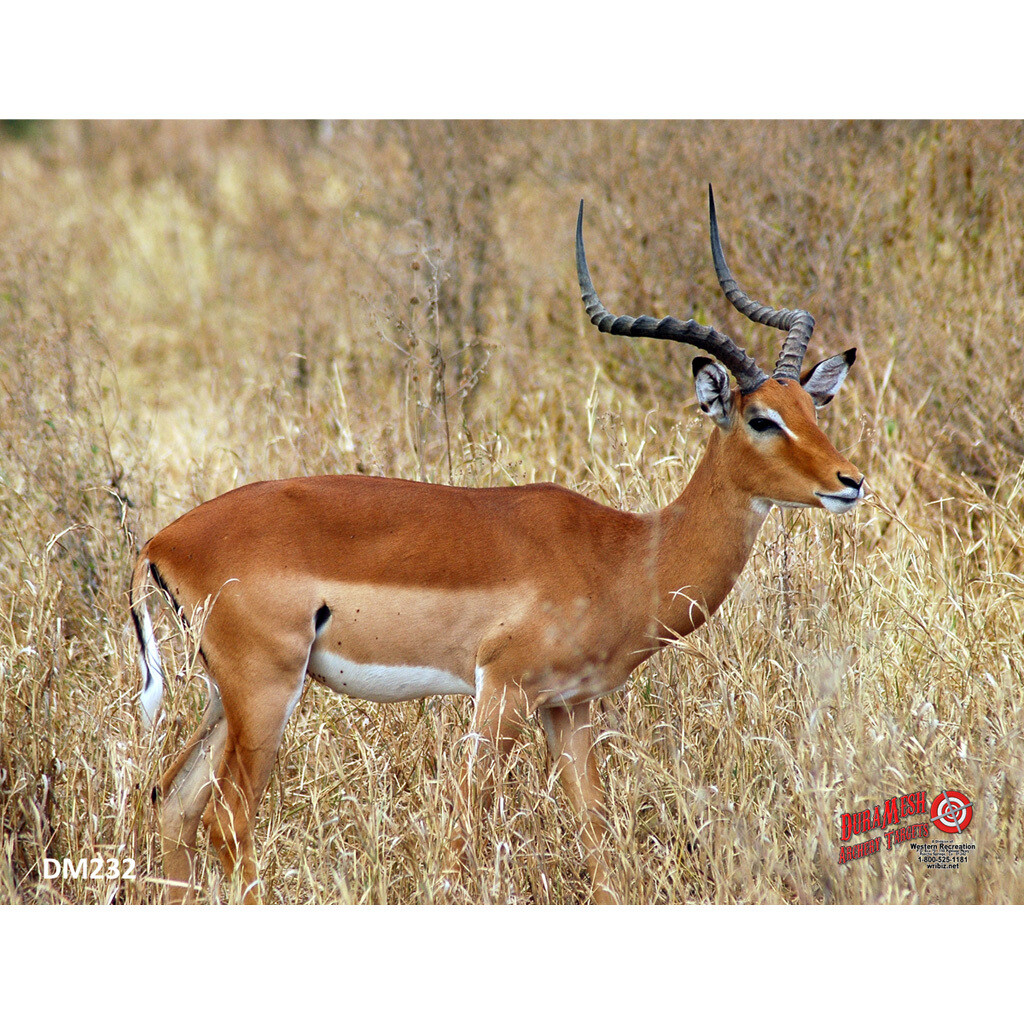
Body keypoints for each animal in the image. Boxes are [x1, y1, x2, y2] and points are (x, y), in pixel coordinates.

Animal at [129, 186, 864, 904]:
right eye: (761, 419)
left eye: (811, 409)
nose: (850, 482)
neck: (626, 552)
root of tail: (162, 542)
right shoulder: (503, 692)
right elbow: (463, 830)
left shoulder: (569, 707)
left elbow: (598, 840)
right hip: (266, 690)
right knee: (228, 818)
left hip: (227, 696)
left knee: (173, 802)